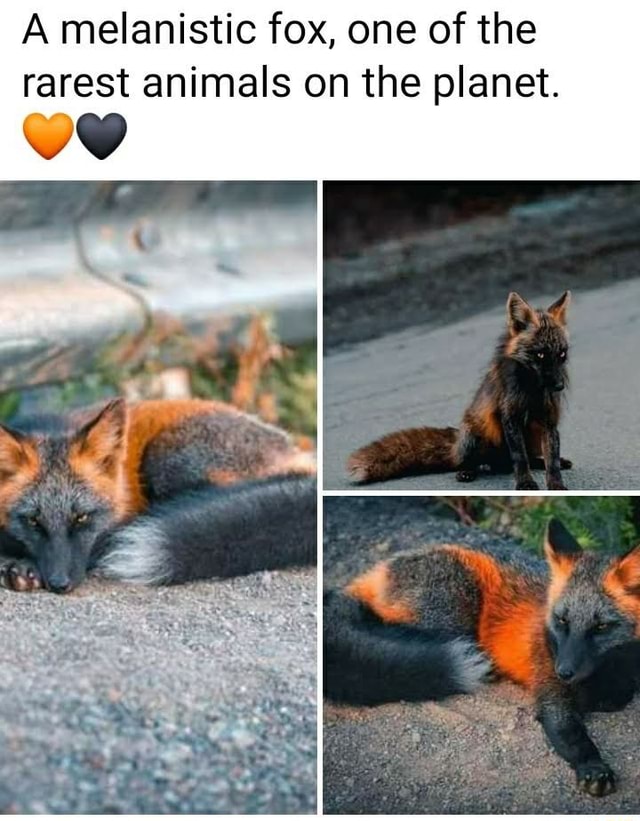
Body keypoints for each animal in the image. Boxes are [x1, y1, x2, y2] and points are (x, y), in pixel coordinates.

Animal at [0, 397, 316, 594]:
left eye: (82, 518)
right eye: (33, 521)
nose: (59, 583)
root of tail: (295, 451)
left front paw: (21, 567)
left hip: (166, 460)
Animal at [324, 519, 640, 796]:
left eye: (601, 627)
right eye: (562, 621)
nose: (563, 671)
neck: (607, 673)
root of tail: (380, 568)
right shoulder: (551, 694)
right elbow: (572, 735)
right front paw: (593, 767)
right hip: (451, 614)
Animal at [348, 291, 572, 490]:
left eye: (561, 354)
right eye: (540, 355)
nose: (559, 386)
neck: (532, 391)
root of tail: (456, 443)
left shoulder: (549, 421)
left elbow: (551, 461)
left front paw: (556, 485)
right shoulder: (510, 418)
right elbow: (520, 457)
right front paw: (525, 483)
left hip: (531, 436)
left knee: (530, 459)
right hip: (474, 436)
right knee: (471, 464)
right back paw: (466, 471)